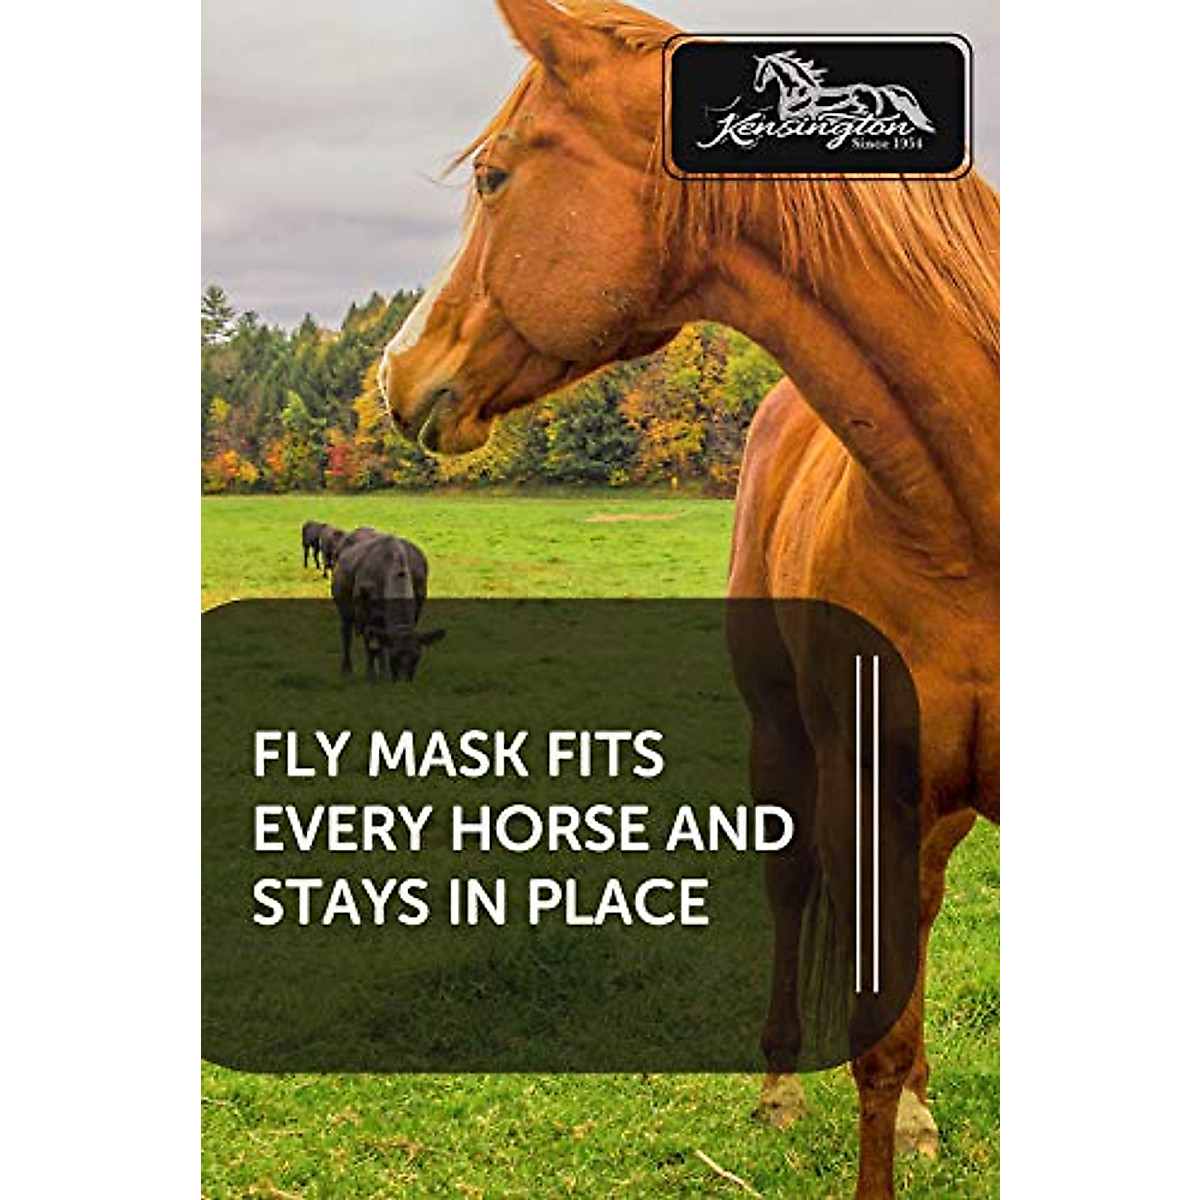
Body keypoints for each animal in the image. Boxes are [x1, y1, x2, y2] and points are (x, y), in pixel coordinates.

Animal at [377, 2, 998, 1196]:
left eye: (493, 175)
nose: (394, 371)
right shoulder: (867, 791)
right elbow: (874, 1032)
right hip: (790, 747)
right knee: (796, 890)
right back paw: (780, 1086)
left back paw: (923, 1110)